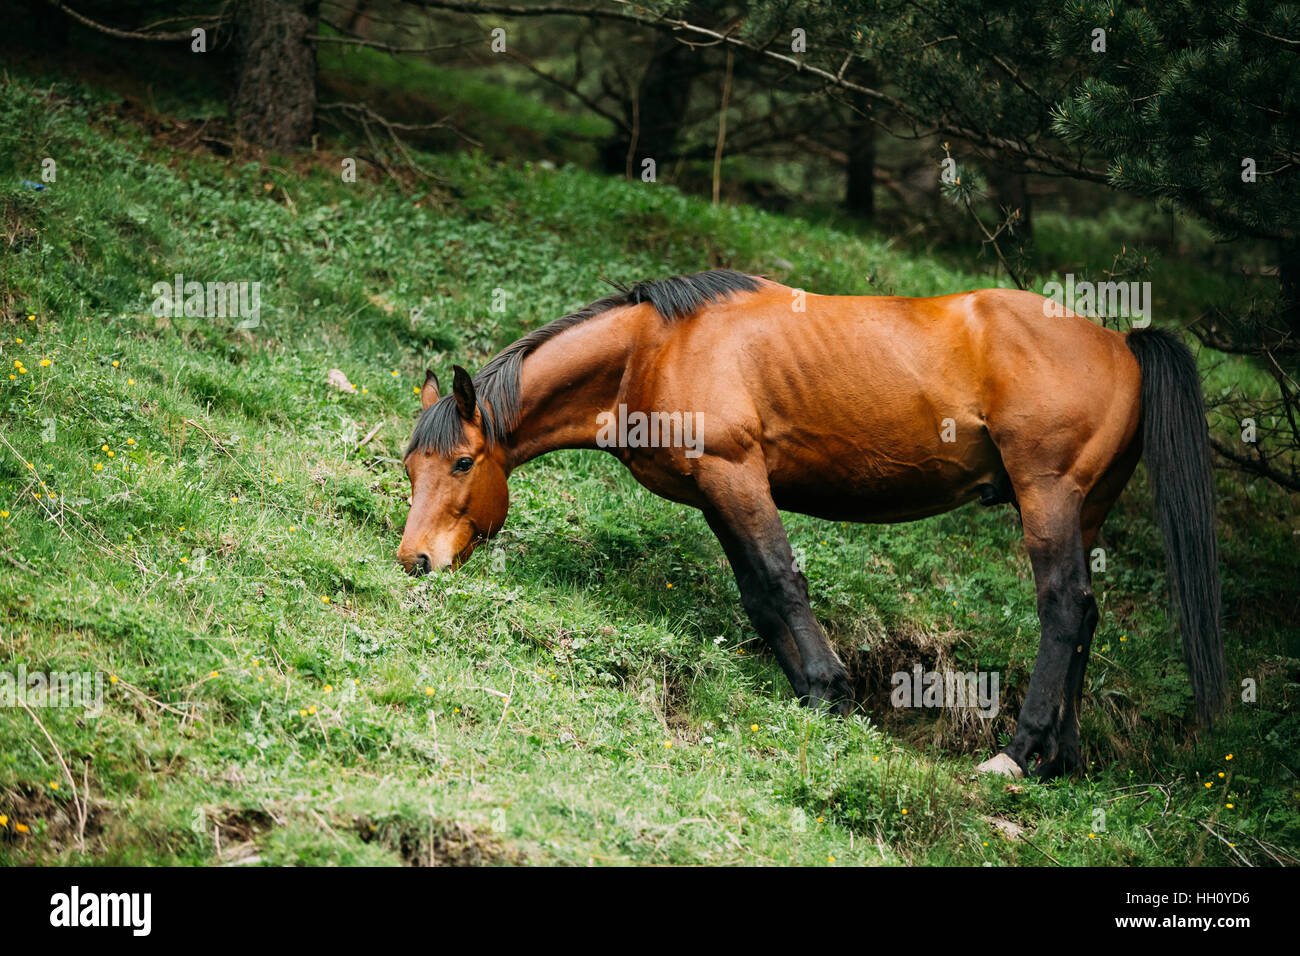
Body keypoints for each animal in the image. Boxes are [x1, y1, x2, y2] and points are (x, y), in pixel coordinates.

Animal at [398, 269, 1223, 778]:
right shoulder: (717, 492)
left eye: (463, 462)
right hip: (1084, 507)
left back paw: (1018, 754)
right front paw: (813, 696)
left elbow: (781, 581)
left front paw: (831, 693)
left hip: (1047, 496)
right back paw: (1061, 758)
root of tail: (1122, 343)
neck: (655, 347)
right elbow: (761, 598)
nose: (415, 560)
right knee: (1087, 614)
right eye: (411, 469)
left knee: (1063, 610)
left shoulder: (736, 474)